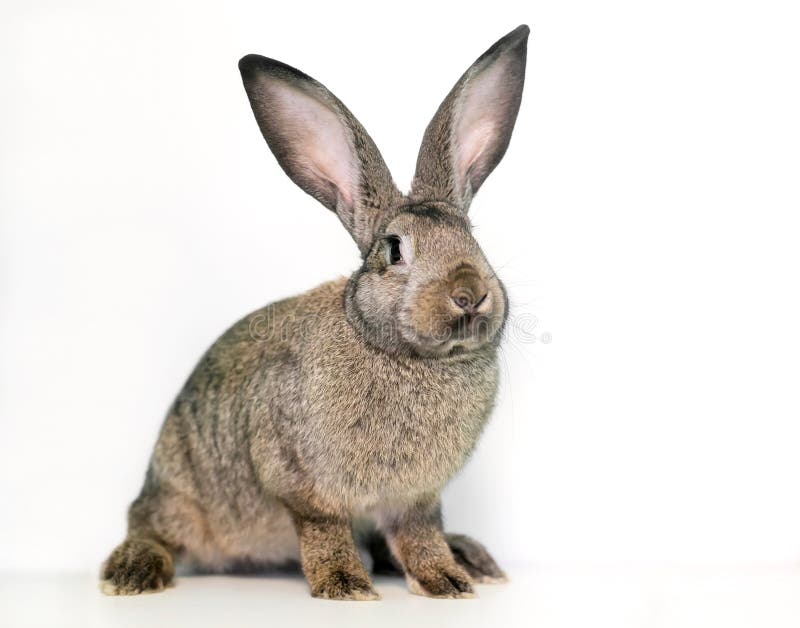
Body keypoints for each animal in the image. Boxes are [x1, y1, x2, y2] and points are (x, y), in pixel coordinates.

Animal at [101, 24, 529, 600]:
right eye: (395, 250)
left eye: (472, 239)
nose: (469, 292)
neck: (403, 354)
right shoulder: (298, 477)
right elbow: (324, 527)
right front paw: (345, 586)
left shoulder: (415, 500)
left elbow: (419, 536)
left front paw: (447, 581)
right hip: (181, 494)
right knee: (151, 528)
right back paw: (132, 572)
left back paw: (472, 558)